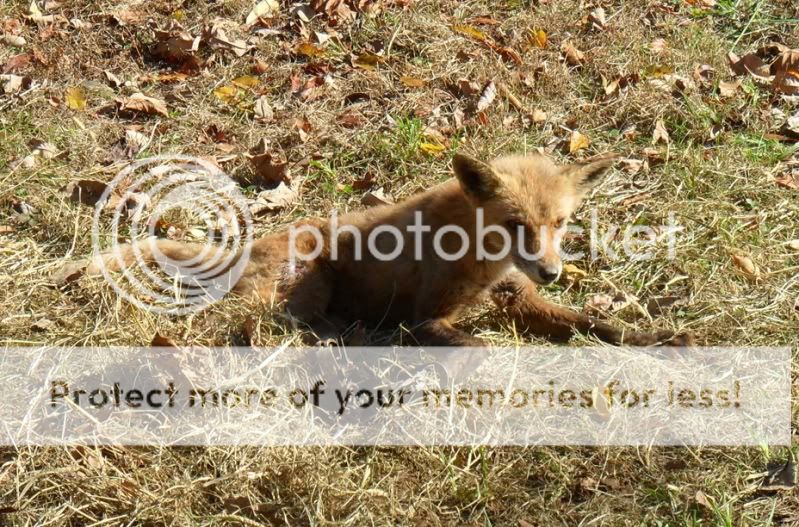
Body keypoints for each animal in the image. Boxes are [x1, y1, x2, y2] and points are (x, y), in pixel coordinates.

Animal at [82, 152, 694, 347]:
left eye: (559, 223)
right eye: (515, 224)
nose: (551, 272)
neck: (481, 259)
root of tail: (249, 244)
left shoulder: (518, 300)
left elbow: (598, 325)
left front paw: (658, 338)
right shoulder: (425, 319)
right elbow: (483, 348)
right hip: (307, 279)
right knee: (256, 327)